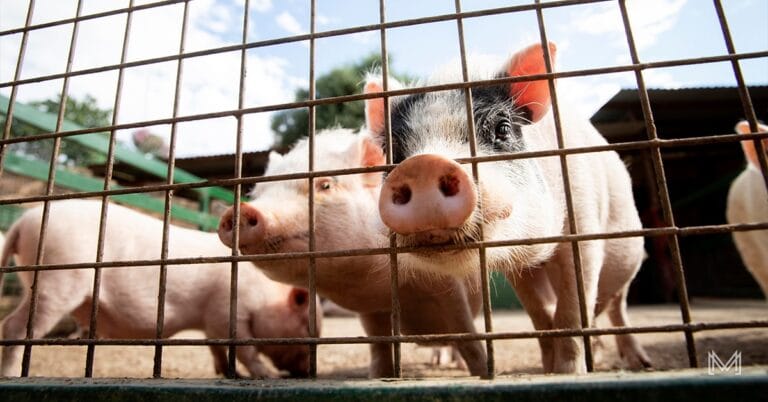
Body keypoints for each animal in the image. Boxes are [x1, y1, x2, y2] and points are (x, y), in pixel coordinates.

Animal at [0, 200, 317, 378]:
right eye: (304, 326)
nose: (305, 372)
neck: (265, 295)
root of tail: (22, 222)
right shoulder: (227, 311)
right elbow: (244, 348)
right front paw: (268, 377)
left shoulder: (211, 323)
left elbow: (215, 348)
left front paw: (229, 374)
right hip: (57, 279)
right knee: (13, 326)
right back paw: (12, 374)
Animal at [218, 128, 488, 377]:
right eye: (257, 193)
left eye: (325, 185)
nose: (242, 210)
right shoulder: (372, 311)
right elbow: (379, 346)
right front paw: (379, 376)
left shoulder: (449, 287)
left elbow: (468, 336)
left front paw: (483, 373)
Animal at [364, 42, 651, 374]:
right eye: (393, 151)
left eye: (502, 128)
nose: (423, 165)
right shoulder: (519, 265)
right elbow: (540, 314)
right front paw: (548, 368)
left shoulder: (583, 224)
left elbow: (572, 310)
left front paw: (567, 373)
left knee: (618, 307)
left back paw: (640, 363)